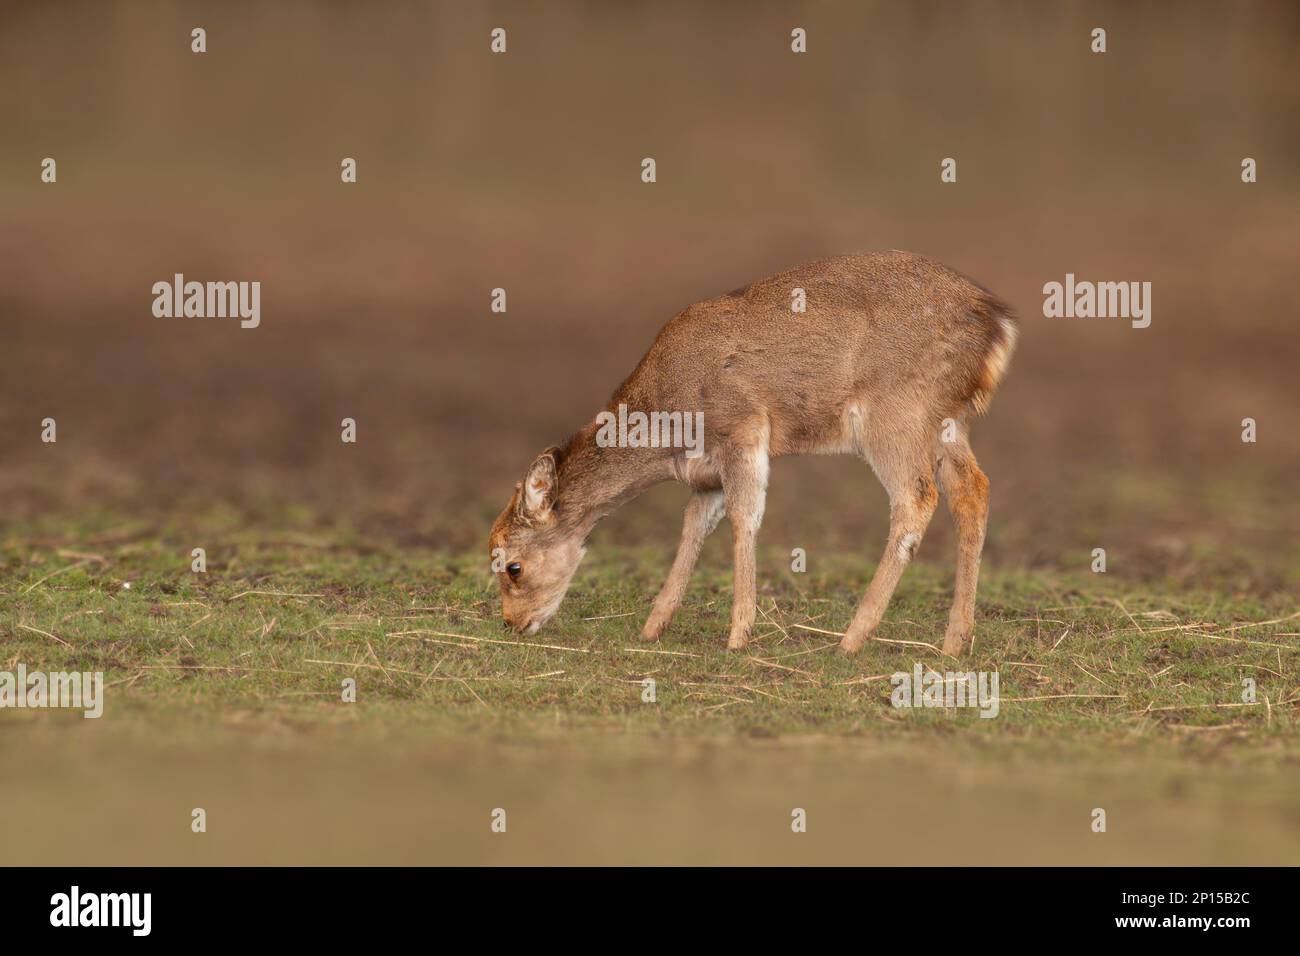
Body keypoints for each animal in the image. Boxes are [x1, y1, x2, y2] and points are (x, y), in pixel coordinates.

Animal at [489, 251, 1018, 656]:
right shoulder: (704, 474)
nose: (512, 624)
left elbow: (746, 518)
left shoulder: (743, 428)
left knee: (916, 499)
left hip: (895, 415)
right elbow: (694, 527)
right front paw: (653, 626)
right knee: (974, 490)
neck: (668, 424)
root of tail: (998, 324)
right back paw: (954, 641)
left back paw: (850, 639)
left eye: (511, 567)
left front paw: (739, 634)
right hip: (949, 422)